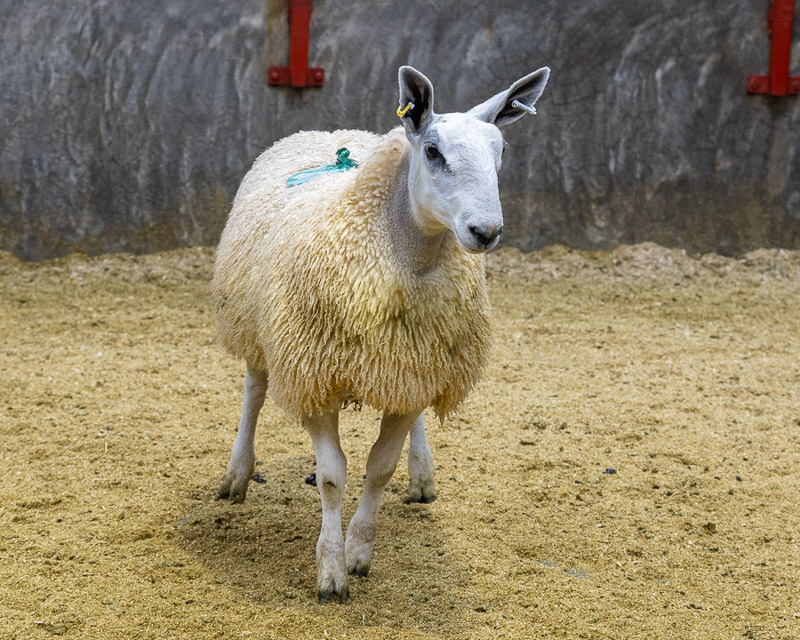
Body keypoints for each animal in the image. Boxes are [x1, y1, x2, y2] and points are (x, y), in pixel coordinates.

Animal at [212, 64, 550, 602]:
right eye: (432, 151)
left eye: (500, 150)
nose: (486, 231)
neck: (402, 254)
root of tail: (329, 132)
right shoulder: (315, 375)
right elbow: (333, 478)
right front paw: (331, 572)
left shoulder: (411, 371)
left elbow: (380, 468)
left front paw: (358, 552)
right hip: (256, 324)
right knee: (254, 390)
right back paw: (238, 474)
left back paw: (422, 474)